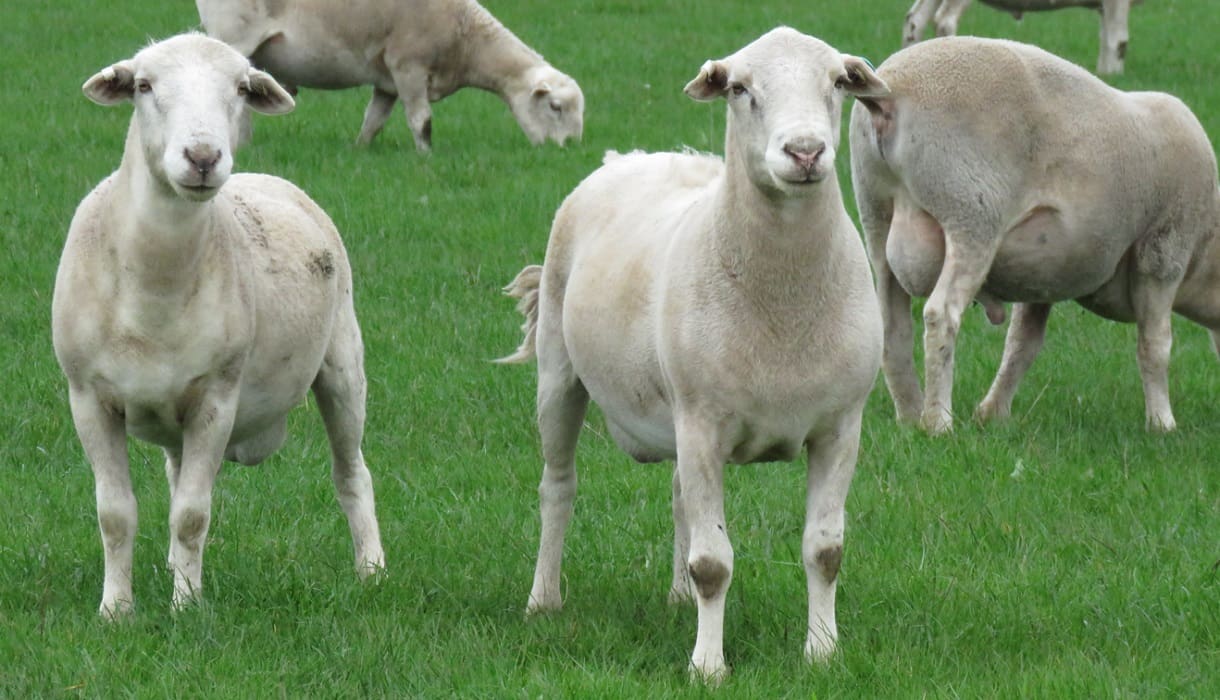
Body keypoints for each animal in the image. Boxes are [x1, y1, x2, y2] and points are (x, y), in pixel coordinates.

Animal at [51, 33, 385, 616]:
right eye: (143, 85)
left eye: (241, 88)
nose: (204, 157)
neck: (154, 287)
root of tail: (265, 177)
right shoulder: (88, 398)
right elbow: (115, 515)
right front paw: (116, 610)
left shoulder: (217, 398)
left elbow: (191, 515)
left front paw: (186, 608)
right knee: (173, 473)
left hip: (343, 361)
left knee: (352, 472)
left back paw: (371, 570)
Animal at [196, 0, 585, 152]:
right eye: (555, 107)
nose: (567, 150)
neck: (466, 40)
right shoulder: (408, 66)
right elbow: (421, 120)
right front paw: (426, 157)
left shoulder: (388, 84)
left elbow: (375, 120)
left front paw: (360, 150)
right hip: (234, 36)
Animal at [497, 27, 888, 681]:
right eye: (739, 88)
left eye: (838, 82)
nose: (806, 152)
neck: (784, 301)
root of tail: (631, 157)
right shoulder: (703, 422)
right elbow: (714, 563)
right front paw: (708, 667)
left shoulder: (840, 427)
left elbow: (825, 551)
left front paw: (822, 653)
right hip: (559, 369)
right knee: (558, 487)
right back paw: (542, 600)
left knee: (680, 491)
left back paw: (678, 597)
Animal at [849, 36, 1220, 435]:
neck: (1207, 253)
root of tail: (888, 94)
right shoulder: (1163, 251)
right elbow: (1156, 345)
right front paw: (1162, 423)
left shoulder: (1044, 274)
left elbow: (1022, 345)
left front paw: (993, 413)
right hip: (970, 213)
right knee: (941, 315)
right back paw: (938, 423)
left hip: (875, 212)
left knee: (893, 328)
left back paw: (909, 417)